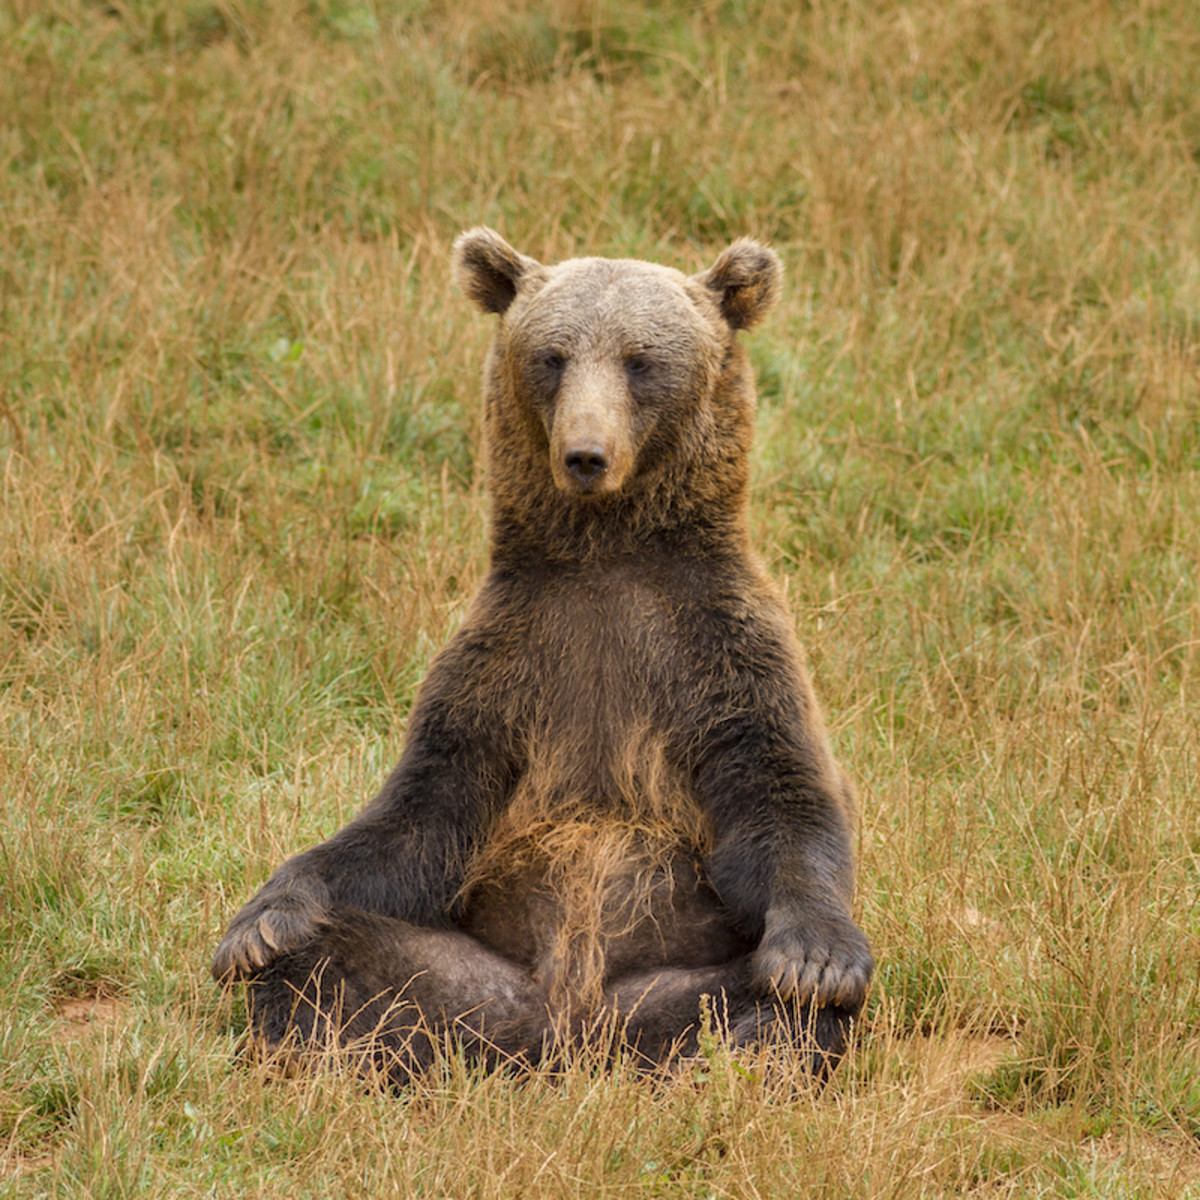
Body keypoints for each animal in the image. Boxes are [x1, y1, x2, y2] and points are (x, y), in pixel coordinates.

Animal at [211, 229, 874, 1083]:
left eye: (640, 360)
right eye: (553, 356)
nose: (585, 453)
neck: (608, 556)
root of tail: (566, 1038)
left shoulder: (720, 649)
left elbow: (783, 800)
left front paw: (816, 960)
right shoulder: (506, 663)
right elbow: (415, 821)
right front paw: (259, 923)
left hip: (678, 987)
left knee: (767, 1008)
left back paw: (745, 1054)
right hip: (466, 981)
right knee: (336, 969)